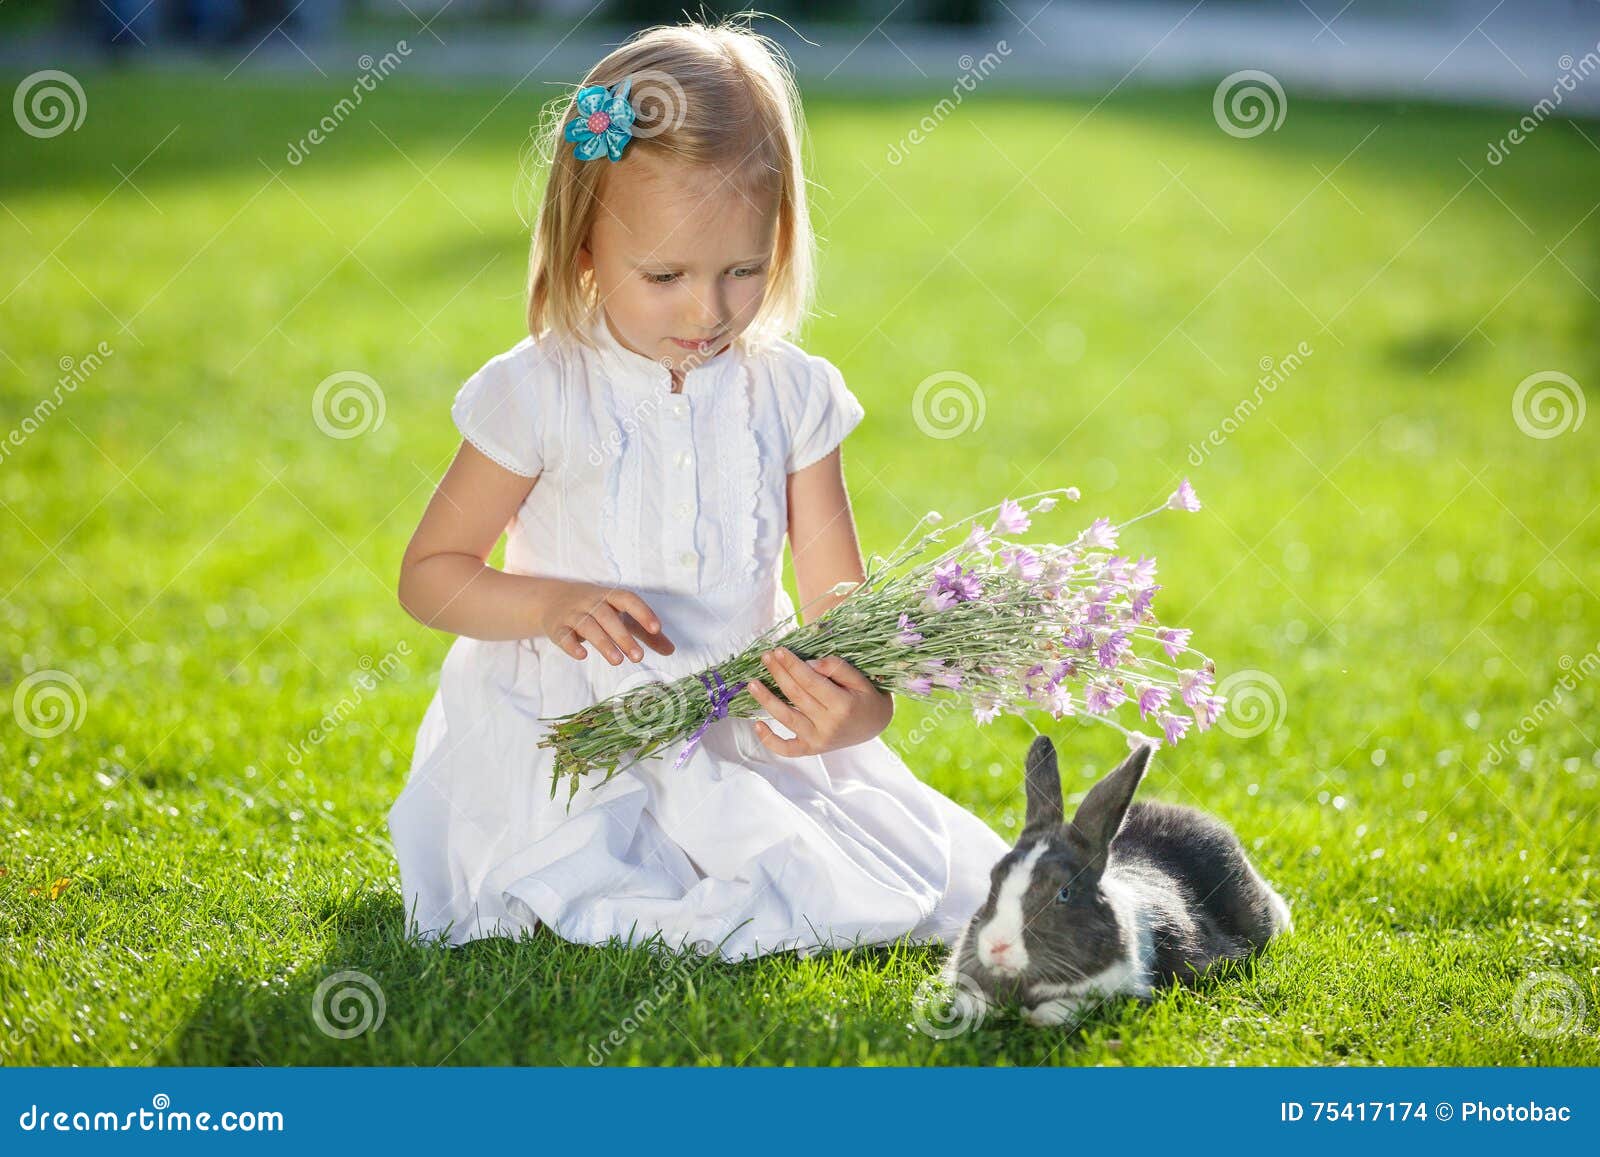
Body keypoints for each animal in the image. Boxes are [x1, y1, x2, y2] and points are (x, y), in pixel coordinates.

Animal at [942, 734, 1293, 1027]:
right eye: (994, 877)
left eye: (1064, 893)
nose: (997, 946)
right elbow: (973, 1003)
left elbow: (1062, 1010)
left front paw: (1037, 1017)